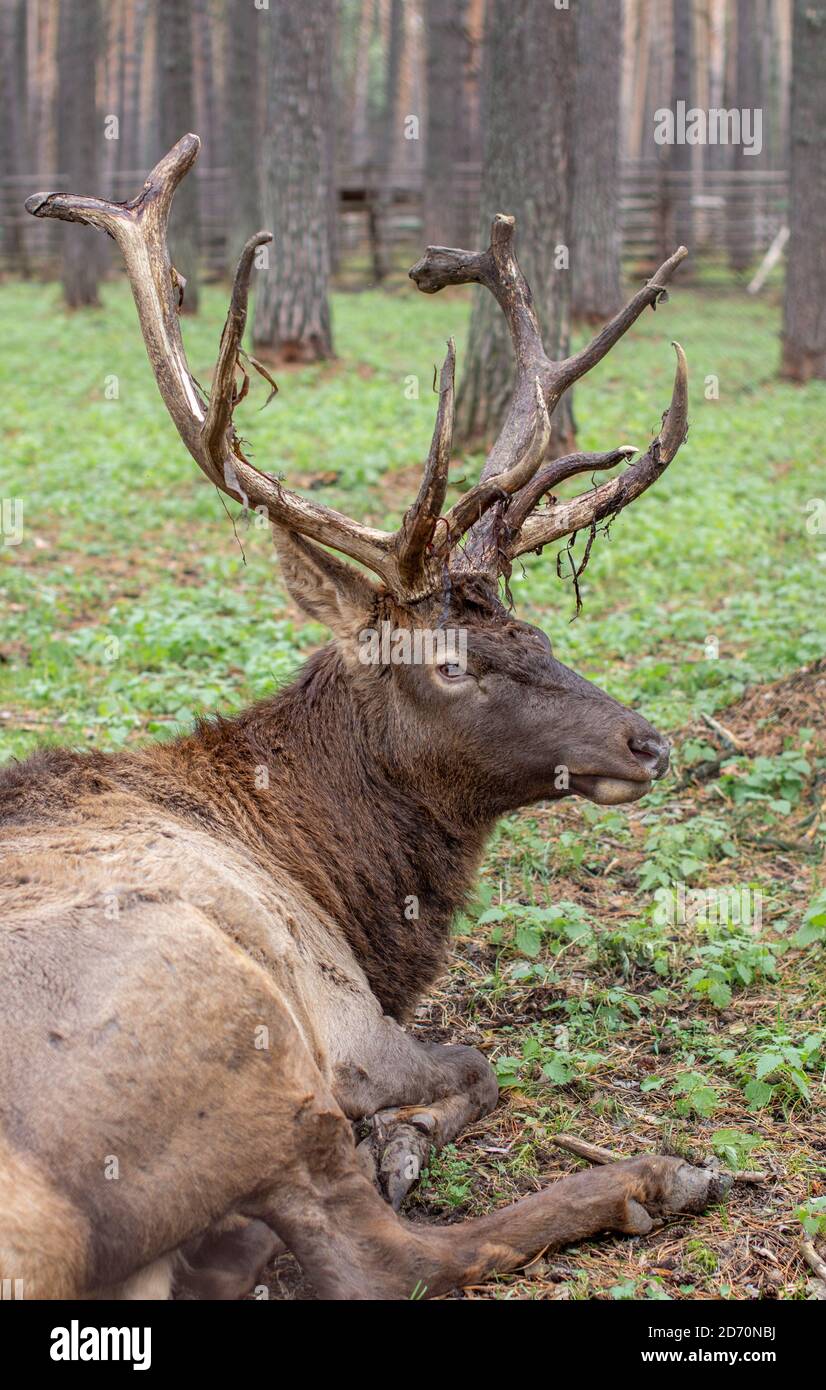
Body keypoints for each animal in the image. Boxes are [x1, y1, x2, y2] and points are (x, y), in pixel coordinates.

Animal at [1, 134, 730, 1302]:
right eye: (449, 662)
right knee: (377, 1257)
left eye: (535, 629)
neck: (338, 879)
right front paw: (402, 1138)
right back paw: (648, 1178)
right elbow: (475, 1063)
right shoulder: (345, 1017)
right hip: (234, 1019)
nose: (645, 739)